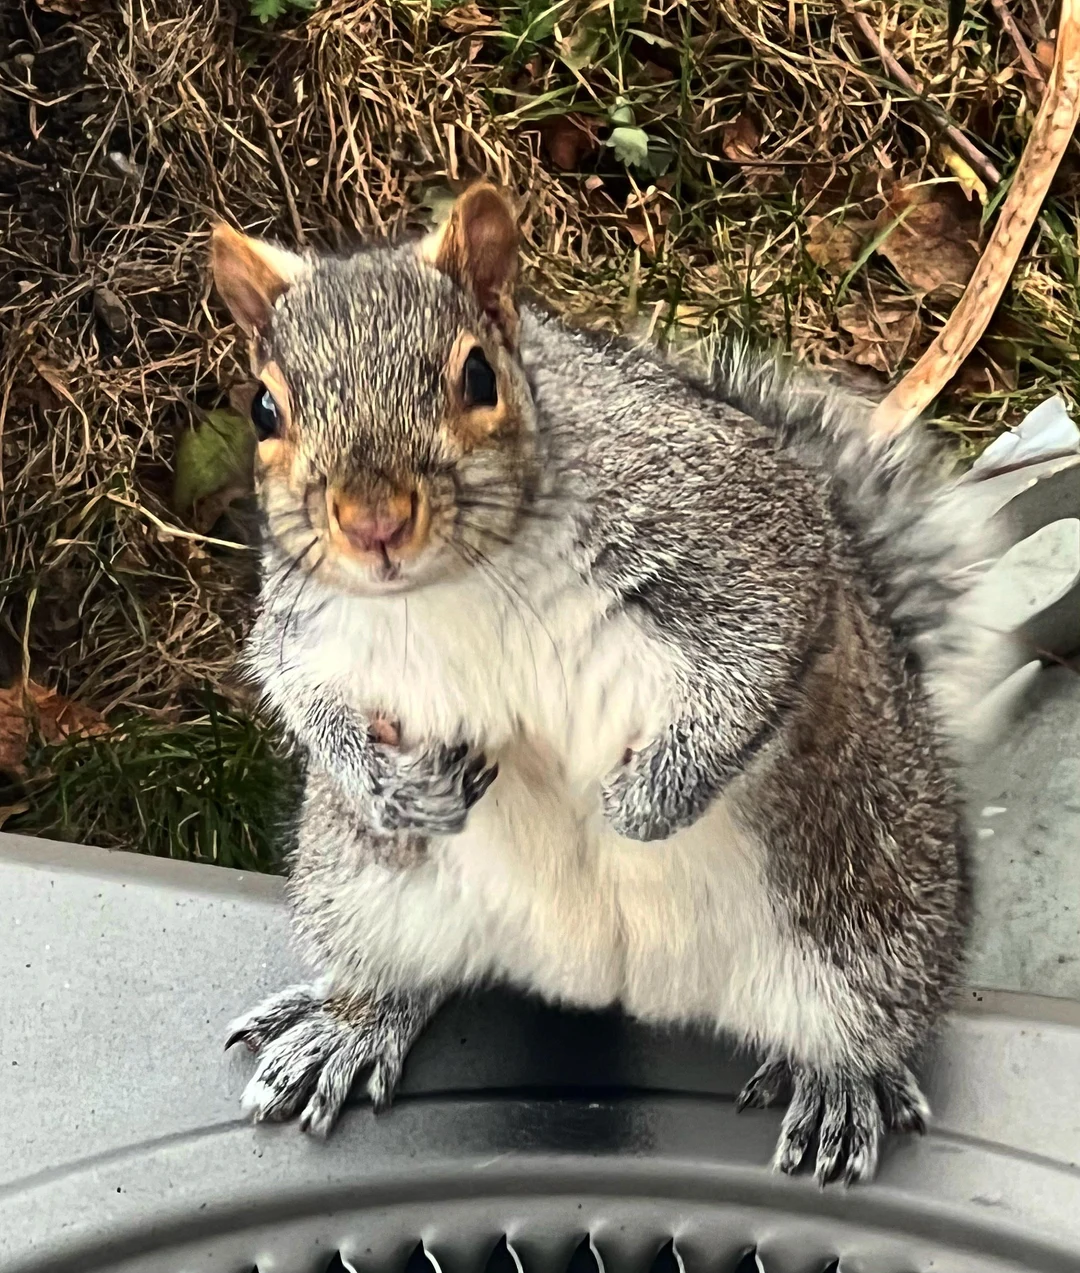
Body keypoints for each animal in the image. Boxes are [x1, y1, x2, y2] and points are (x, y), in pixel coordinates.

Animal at [212, 183, 1012, 1185]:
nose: (372, 523)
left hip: (864, 925)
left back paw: (843, 1084)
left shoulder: (736, 530)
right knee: (403, 975)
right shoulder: (313, 618)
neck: (466, 573)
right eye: (262, 409)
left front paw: (643, 803)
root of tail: (615, 983)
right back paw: (348, 1023)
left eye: (479, 378)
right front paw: (389, 785)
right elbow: (298, 687)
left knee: (859, 1024)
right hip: (361, 889)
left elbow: (763, 652)